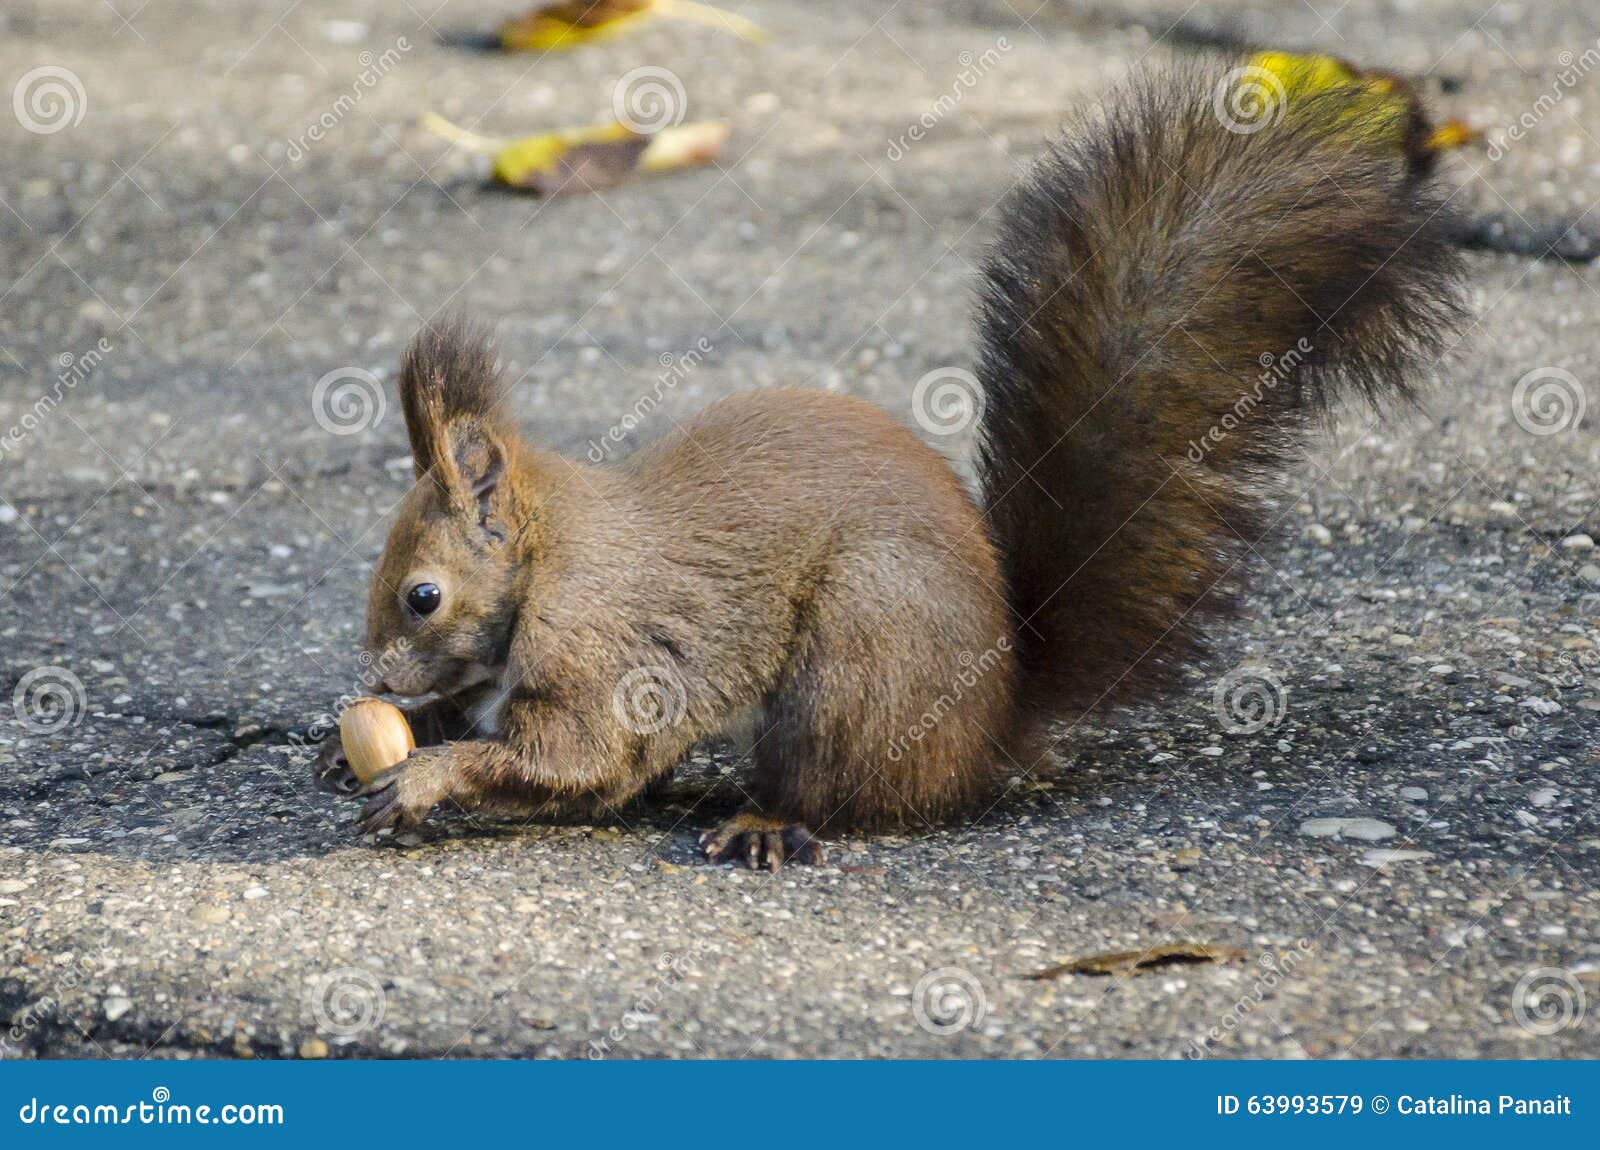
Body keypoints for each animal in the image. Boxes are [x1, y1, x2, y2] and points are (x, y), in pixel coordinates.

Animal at [313, 64, 1464, 869]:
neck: (554, 555)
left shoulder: (609, 653)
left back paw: (766, 822)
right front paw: (371, 738)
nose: (378, 681)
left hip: (860, 648)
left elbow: (579, 759)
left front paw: (428, 776)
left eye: (422, 595)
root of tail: (995, 718)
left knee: (844, 792)